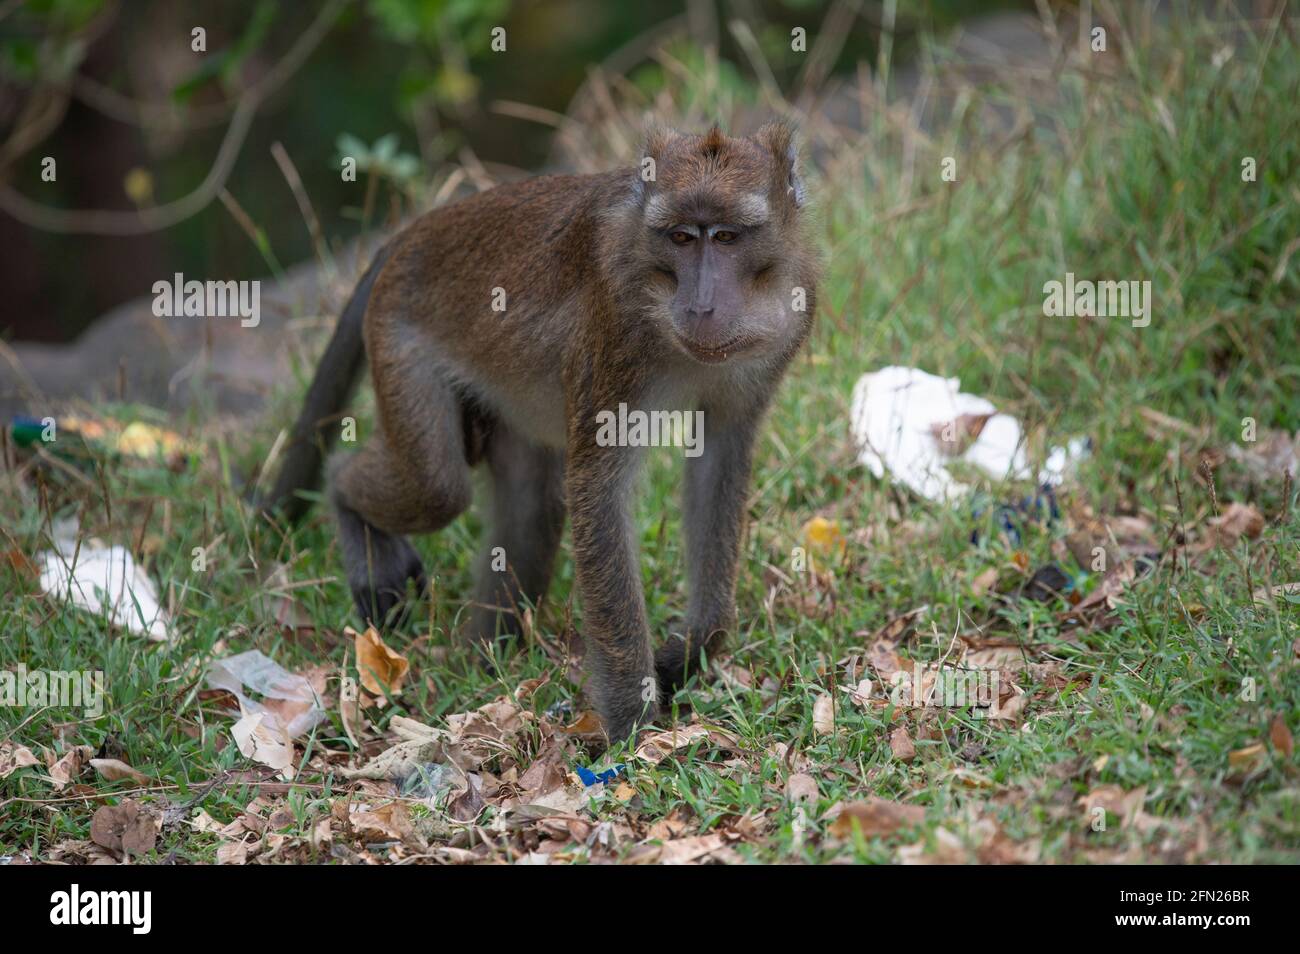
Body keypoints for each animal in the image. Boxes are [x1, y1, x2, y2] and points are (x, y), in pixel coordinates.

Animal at [261, 123, 819, 743]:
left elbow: (719, 463)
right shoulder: (616, 331)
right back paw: (349, 504)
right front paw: (631, 727)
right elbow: (599, 491)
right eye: (679, 237)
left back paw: (488, 656)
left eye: (724, 237)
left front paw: (693, 647)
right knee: (436, 487)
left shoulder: (787, 324)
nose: (701, 305)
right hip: (397, 338)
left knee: (530, 503)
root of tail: (415, 231)